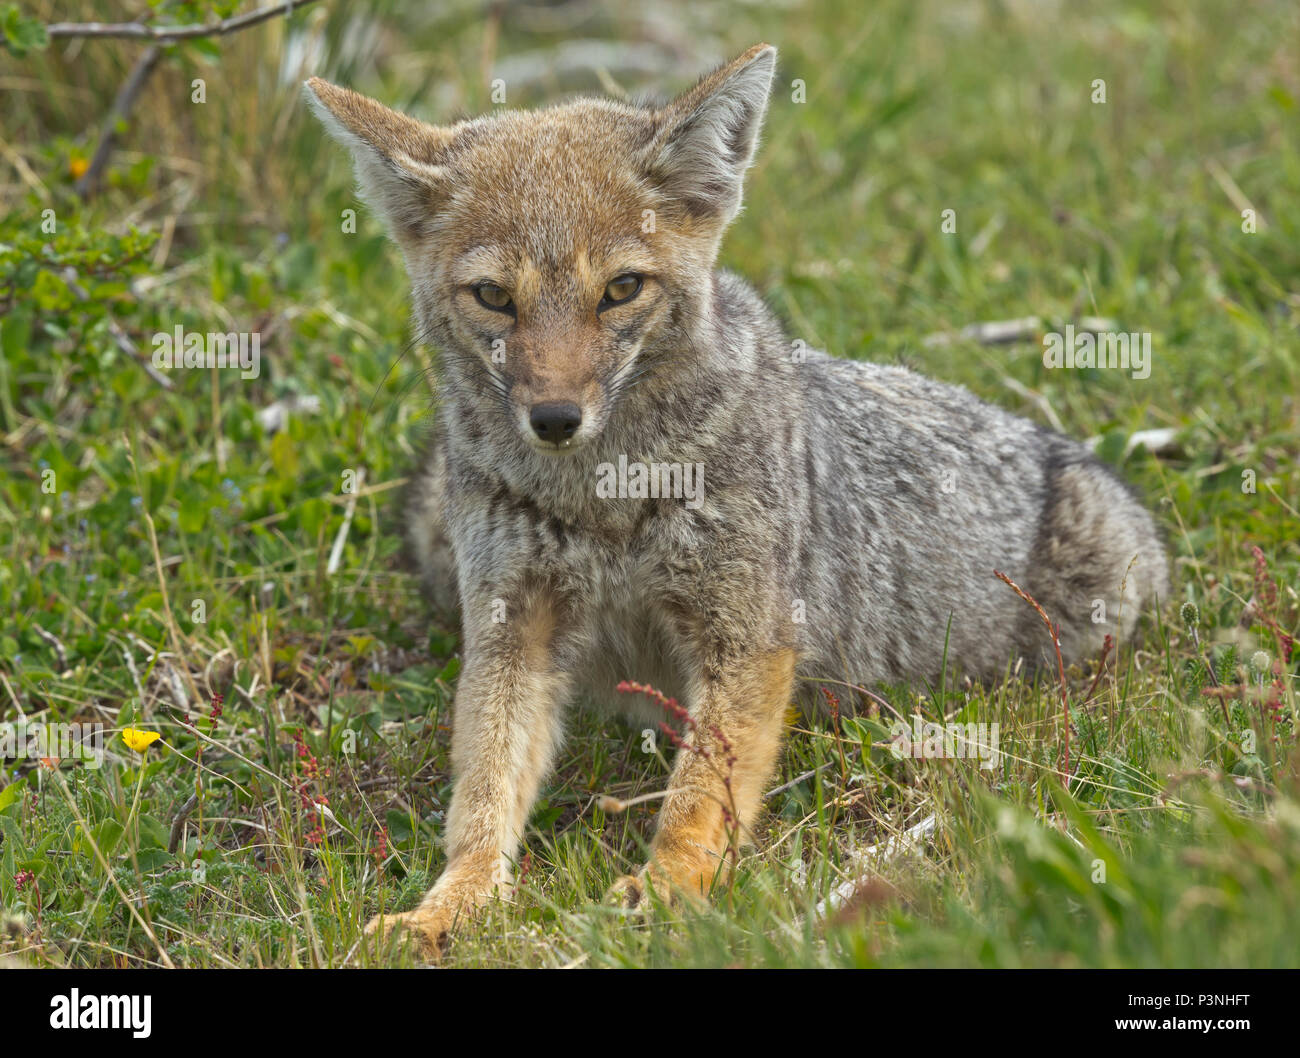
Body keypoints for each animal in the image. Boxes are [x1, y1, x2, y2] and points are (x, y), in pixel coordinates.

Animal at [305, 43, 1168, 960]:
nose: (555, 419)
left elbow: (699, 792)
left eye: (621, 290)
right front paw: (451, 905)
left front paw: (669, 892)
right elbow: (483, 795)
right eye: (495, 297)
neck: (605, 503)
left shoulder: (746, 636)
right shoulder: (513, 631)